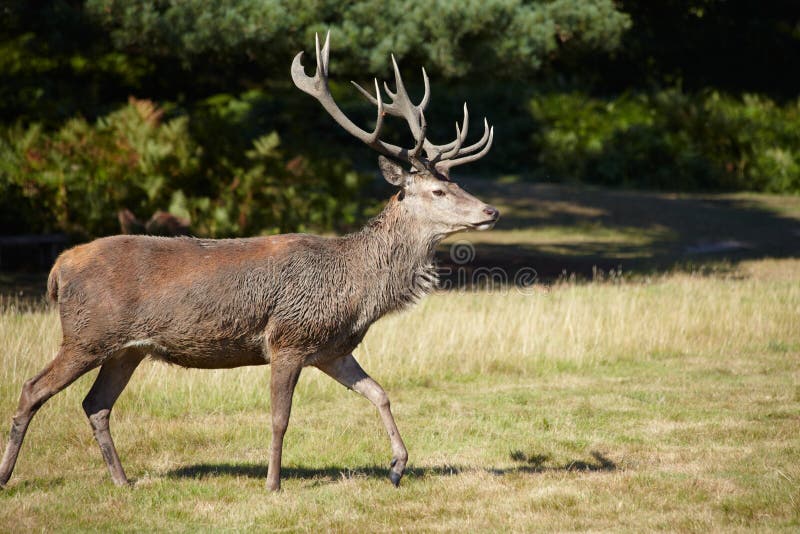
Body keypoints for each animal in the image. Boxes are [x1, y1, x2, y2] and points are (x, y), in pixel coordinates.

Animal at [0, 33, 498, 492]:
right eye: (438, 190)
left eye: (455, 183)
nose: (491, 211)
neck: (357, 292)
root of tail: (59, 267)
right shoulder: (288, 338)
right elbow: (280, 417)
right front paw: (273, 483)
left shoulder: (332, 349)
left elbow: (380, 393)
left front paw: (397, 466)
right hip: (87, 335)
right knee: (31, 389)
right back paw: (8, 476)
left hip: (127, 349)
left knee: (96, 404)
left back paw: (122, 481)